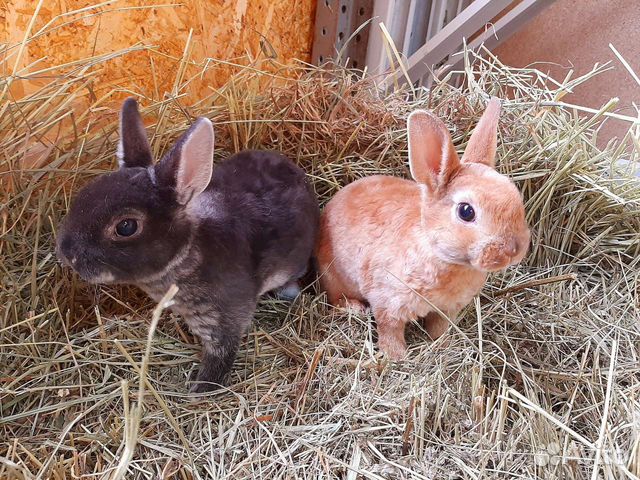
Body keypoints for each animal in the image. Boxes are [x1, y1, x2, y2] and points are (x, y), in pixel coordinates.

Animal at [56, 98, 320, 392]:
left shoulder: (223, 320)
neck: (184, 254)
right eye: (84, 194)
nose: (66, 253)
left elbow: (222, 355)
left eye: (126, 227)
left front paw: (199, 390)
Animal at [315, 98, 530, 360]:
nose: (514, 249)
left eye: (516, 197)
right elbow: (389, 330)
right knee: (334, 300)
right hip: (332, 276)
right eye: (466, 212)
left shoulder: (446, 309)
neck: (441, 255)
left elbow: (438, 327)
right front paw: (396, 357)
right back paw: (355, 309)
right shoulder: (388, 303)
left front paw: (442, 344)